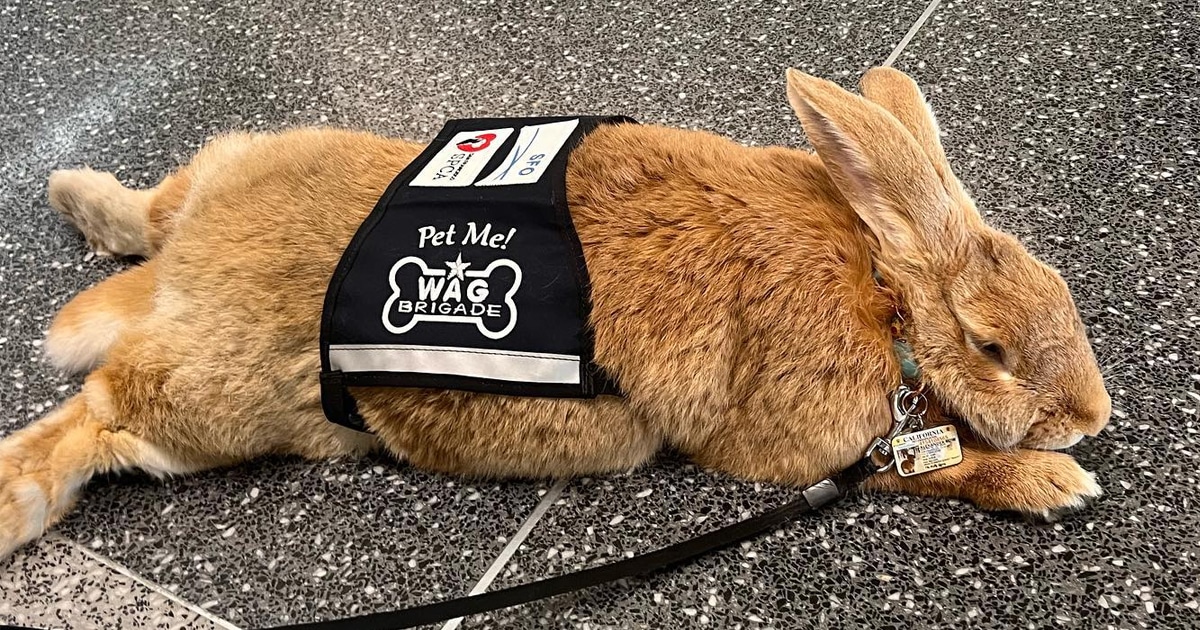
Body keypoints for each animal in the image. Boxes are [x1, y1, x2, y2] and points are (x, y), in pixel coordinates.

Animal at [0, 67, 1111, 559]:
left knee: (151, 211)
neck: (885, 297)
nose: (1093, 417)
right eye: (993, 345)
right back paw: (19, 508)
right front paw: (1056, 483)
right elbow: (935, 468)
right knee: (98, 416)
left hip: (235, 167)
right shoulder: (801, 452)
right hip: (216, 404)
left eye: (1060, 286)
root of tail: (179, 273)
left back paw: (73, 192)